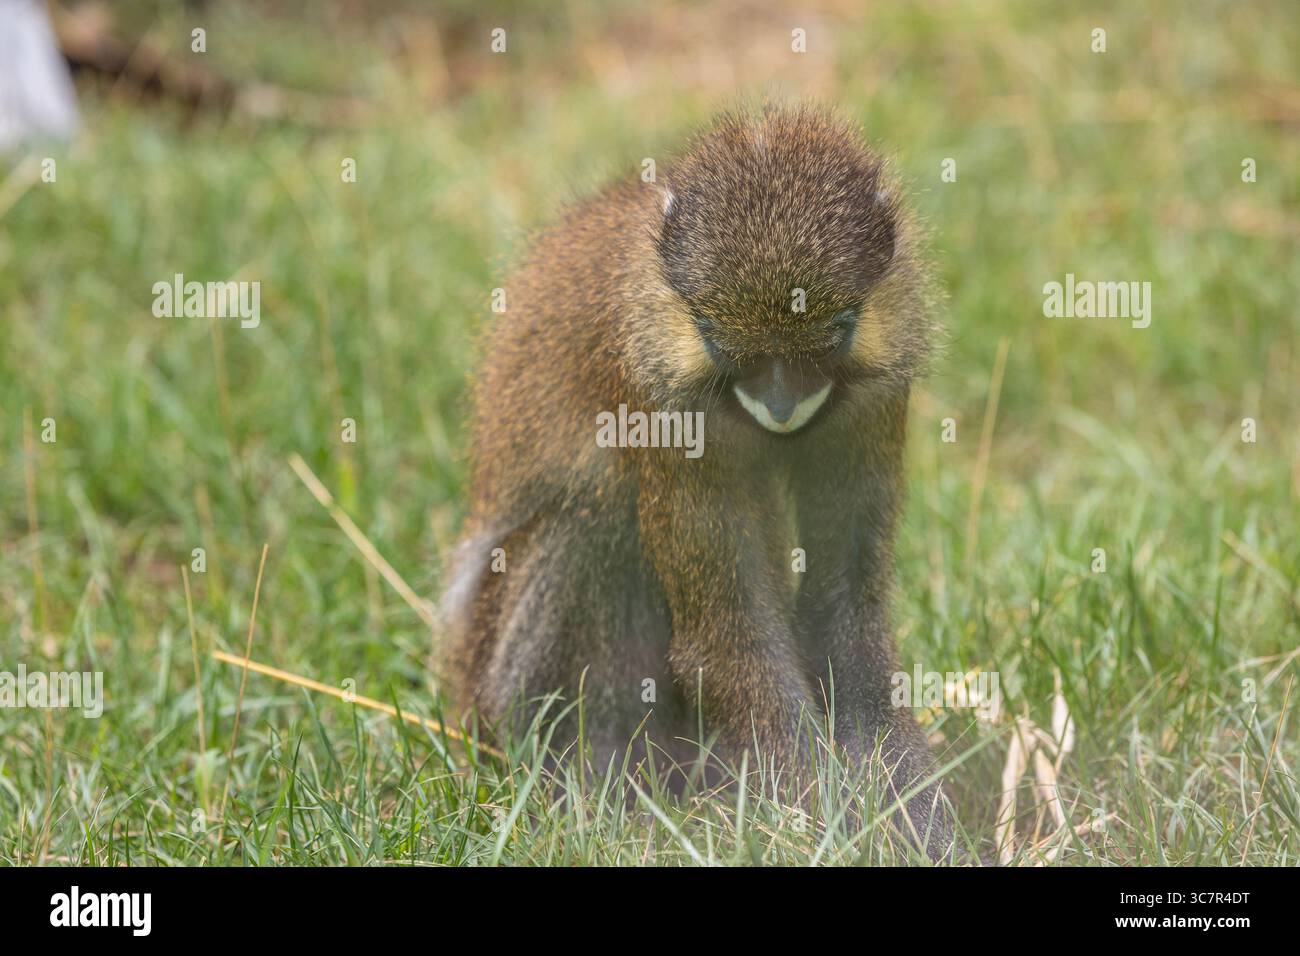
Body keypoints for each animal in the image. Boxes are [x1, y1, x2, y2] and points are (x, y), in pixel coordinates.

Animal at [442, 103, 954, 856]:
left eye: (831, 332)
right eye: (723, 339)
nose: (779, 402)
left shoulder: (877, 389)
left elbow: (844, 619)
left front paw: (913, 813)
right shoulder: (653, 391)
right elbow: (728, 636)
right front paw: (824, 818)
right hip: (500, 671)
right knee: (596, 521)